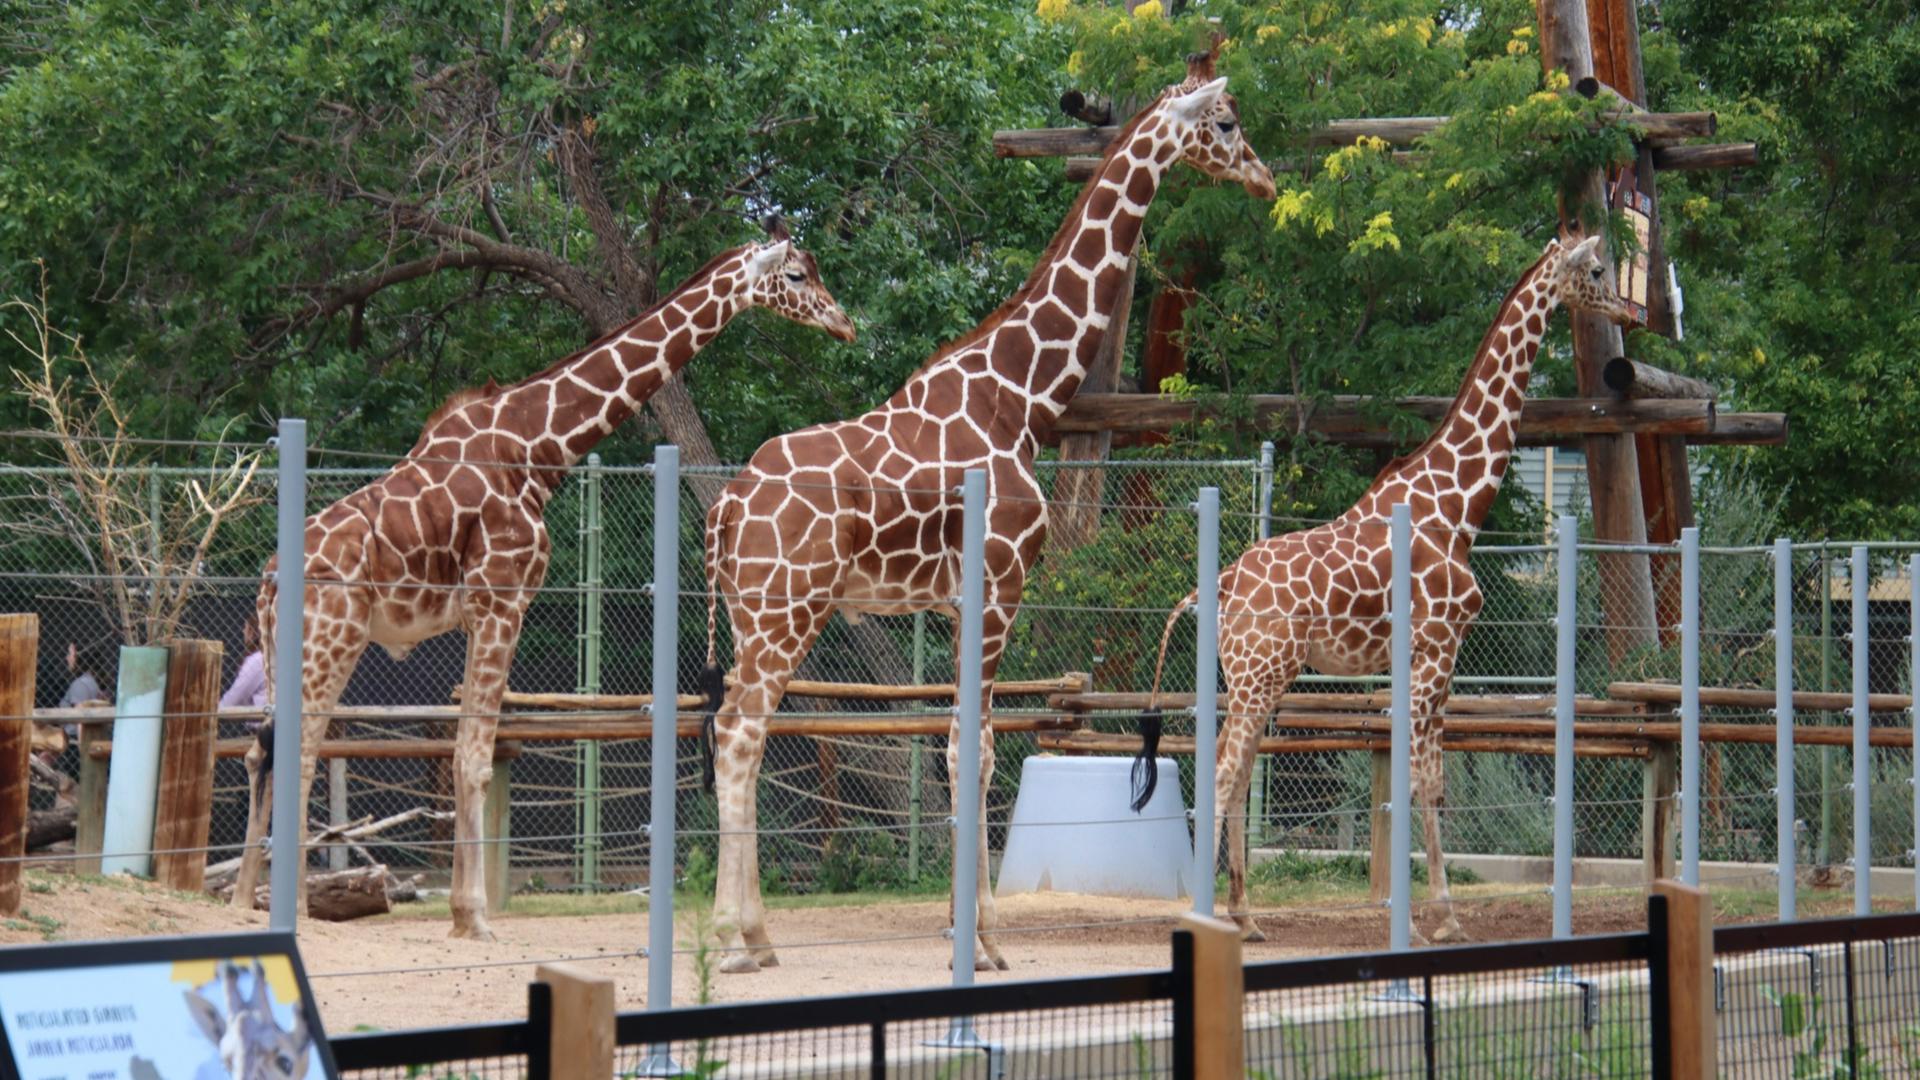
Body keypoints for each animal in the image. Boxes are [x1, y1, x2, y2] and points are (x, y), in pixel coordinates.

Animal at [234, 220, 854, 939]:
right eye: (796, 276)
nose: (845, 324)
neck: (536, 448)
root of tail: (268, 583)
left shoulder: (488, 609)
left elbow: (470, 750)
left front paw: (462, 911)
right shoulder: (502, 600)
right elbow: (472, 755)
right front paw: (472, 917)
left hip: (302, 650)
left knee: (264, 752)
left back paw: (245, 901)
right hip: (329, 641)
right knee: (295, 753)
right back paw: (292, 909)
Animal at [699, 55, 1276, 974]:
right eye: (1224, 123)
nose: (1263, 175)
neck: (1023, 397)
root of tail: (725, 506)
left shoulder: (964, 598)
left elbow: (959, 744)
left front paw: (965, 928)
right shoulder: (1002, 586)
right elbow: (977, 748)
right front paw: (985, 941)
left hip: (757, 611)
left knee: (739, 735)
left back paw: (755, 936)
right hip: (785, 609)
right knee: (739, 733)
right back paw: (733, 939)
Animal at [1133, 231, 1633, 943]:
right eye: (1596, 269)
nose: (1626, 317)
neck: (1457, 505)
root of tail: (1220, 587)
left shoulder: (1437, 660)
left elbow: (1433, 782)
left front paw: (1445, 918)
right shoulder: (1436, 649)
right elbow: (1415, 780)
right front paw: (1425, 922)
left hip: (1255, 675)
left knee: (1238, 764)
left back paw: (1246, 914)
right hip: (1262, 672)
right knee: (1226, 768)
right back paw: (1218, 913)